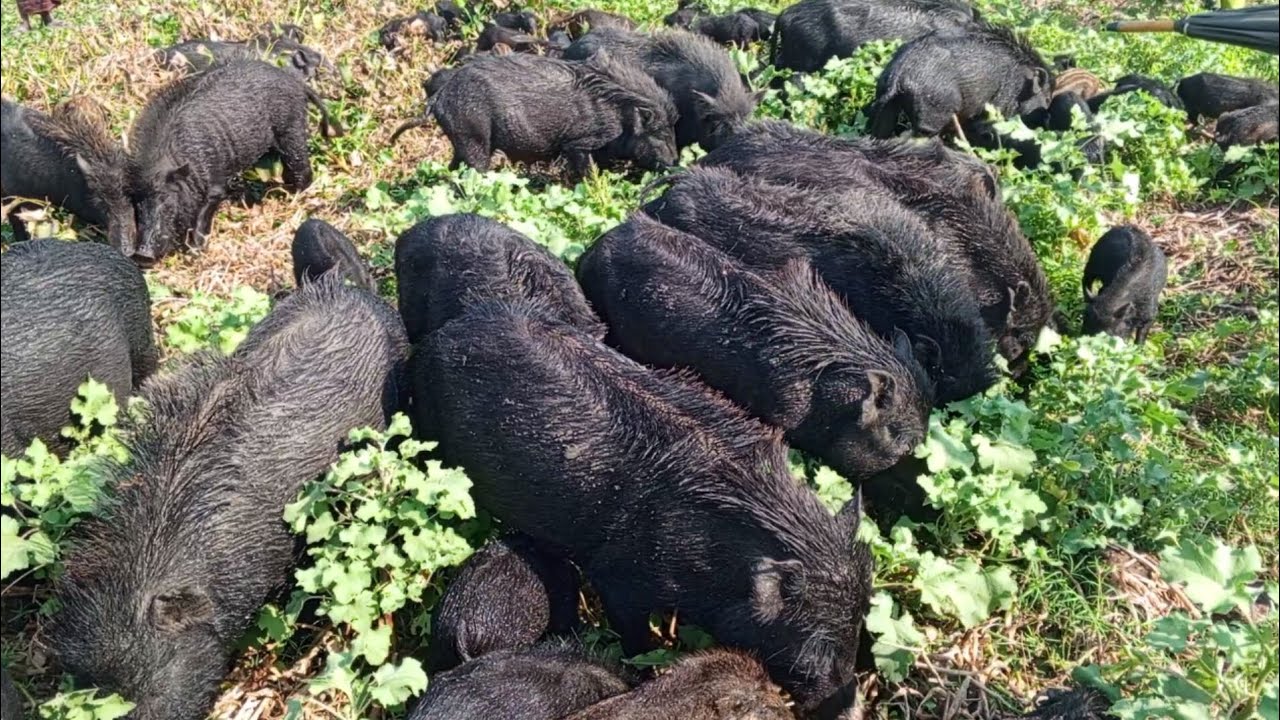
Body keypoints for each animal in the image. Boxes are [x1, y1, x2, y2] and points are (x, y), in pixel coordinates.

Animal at [128, 60, 342, 263]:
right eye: (139, 206)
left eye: (168, 202)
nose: (142, 255)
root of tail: (296, 82)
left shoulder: (215, 185)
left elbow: (204, 214)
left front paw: (195, 252)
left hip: (291, 129)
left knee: (301, 168)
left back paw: (291, 198)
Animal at [389, 53, 678, 177]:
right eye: (660, 133)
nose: (676, 162)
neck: (620, 117)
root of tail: (439, 97)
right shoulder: (580, 143)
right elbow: (586, 173)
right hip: (473, 136)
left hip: (462, 140)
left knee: (453, 168)